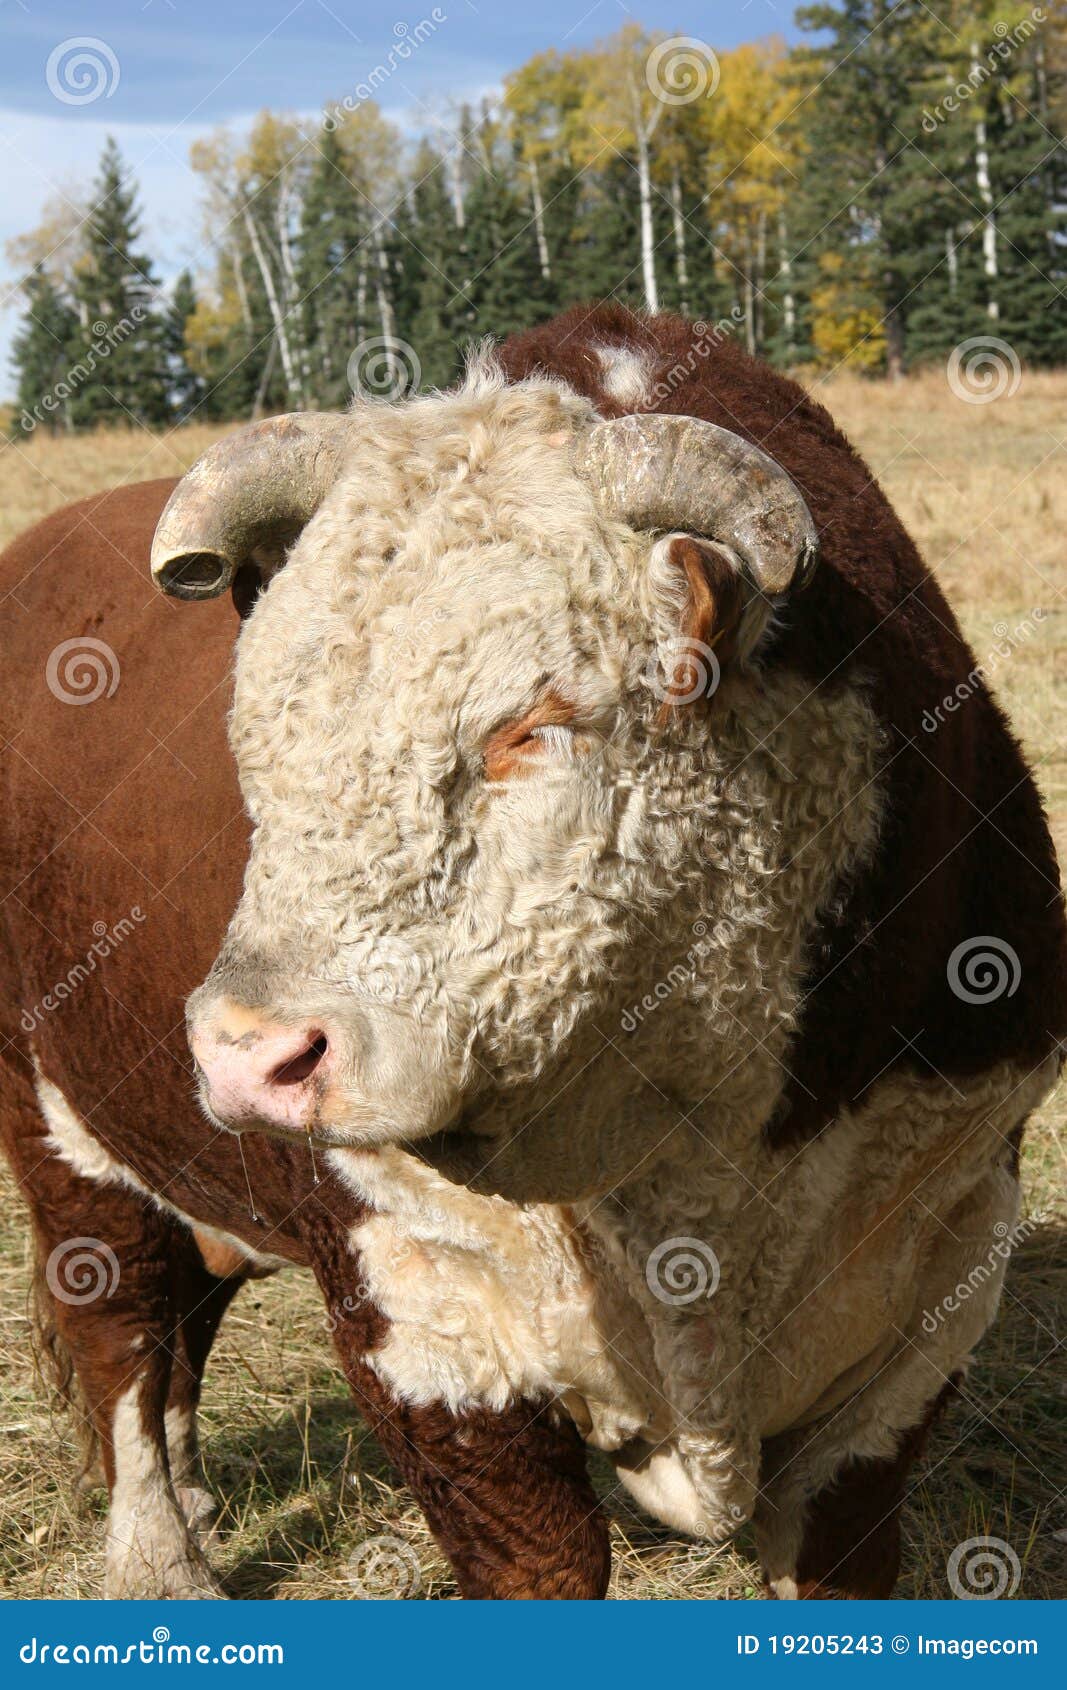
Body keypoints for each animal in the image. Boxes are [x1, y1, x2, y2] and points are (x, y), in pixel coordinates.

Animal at [1, 304, 1063, 1602]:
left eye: (534, 726)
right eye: (253, 735)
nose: (252, 1054)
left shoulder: (934, 1273)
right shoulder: (421, 1317)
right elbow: (540, 1563)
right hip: (58, 1123)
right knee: (127, 1340)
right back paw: (163, 1560)